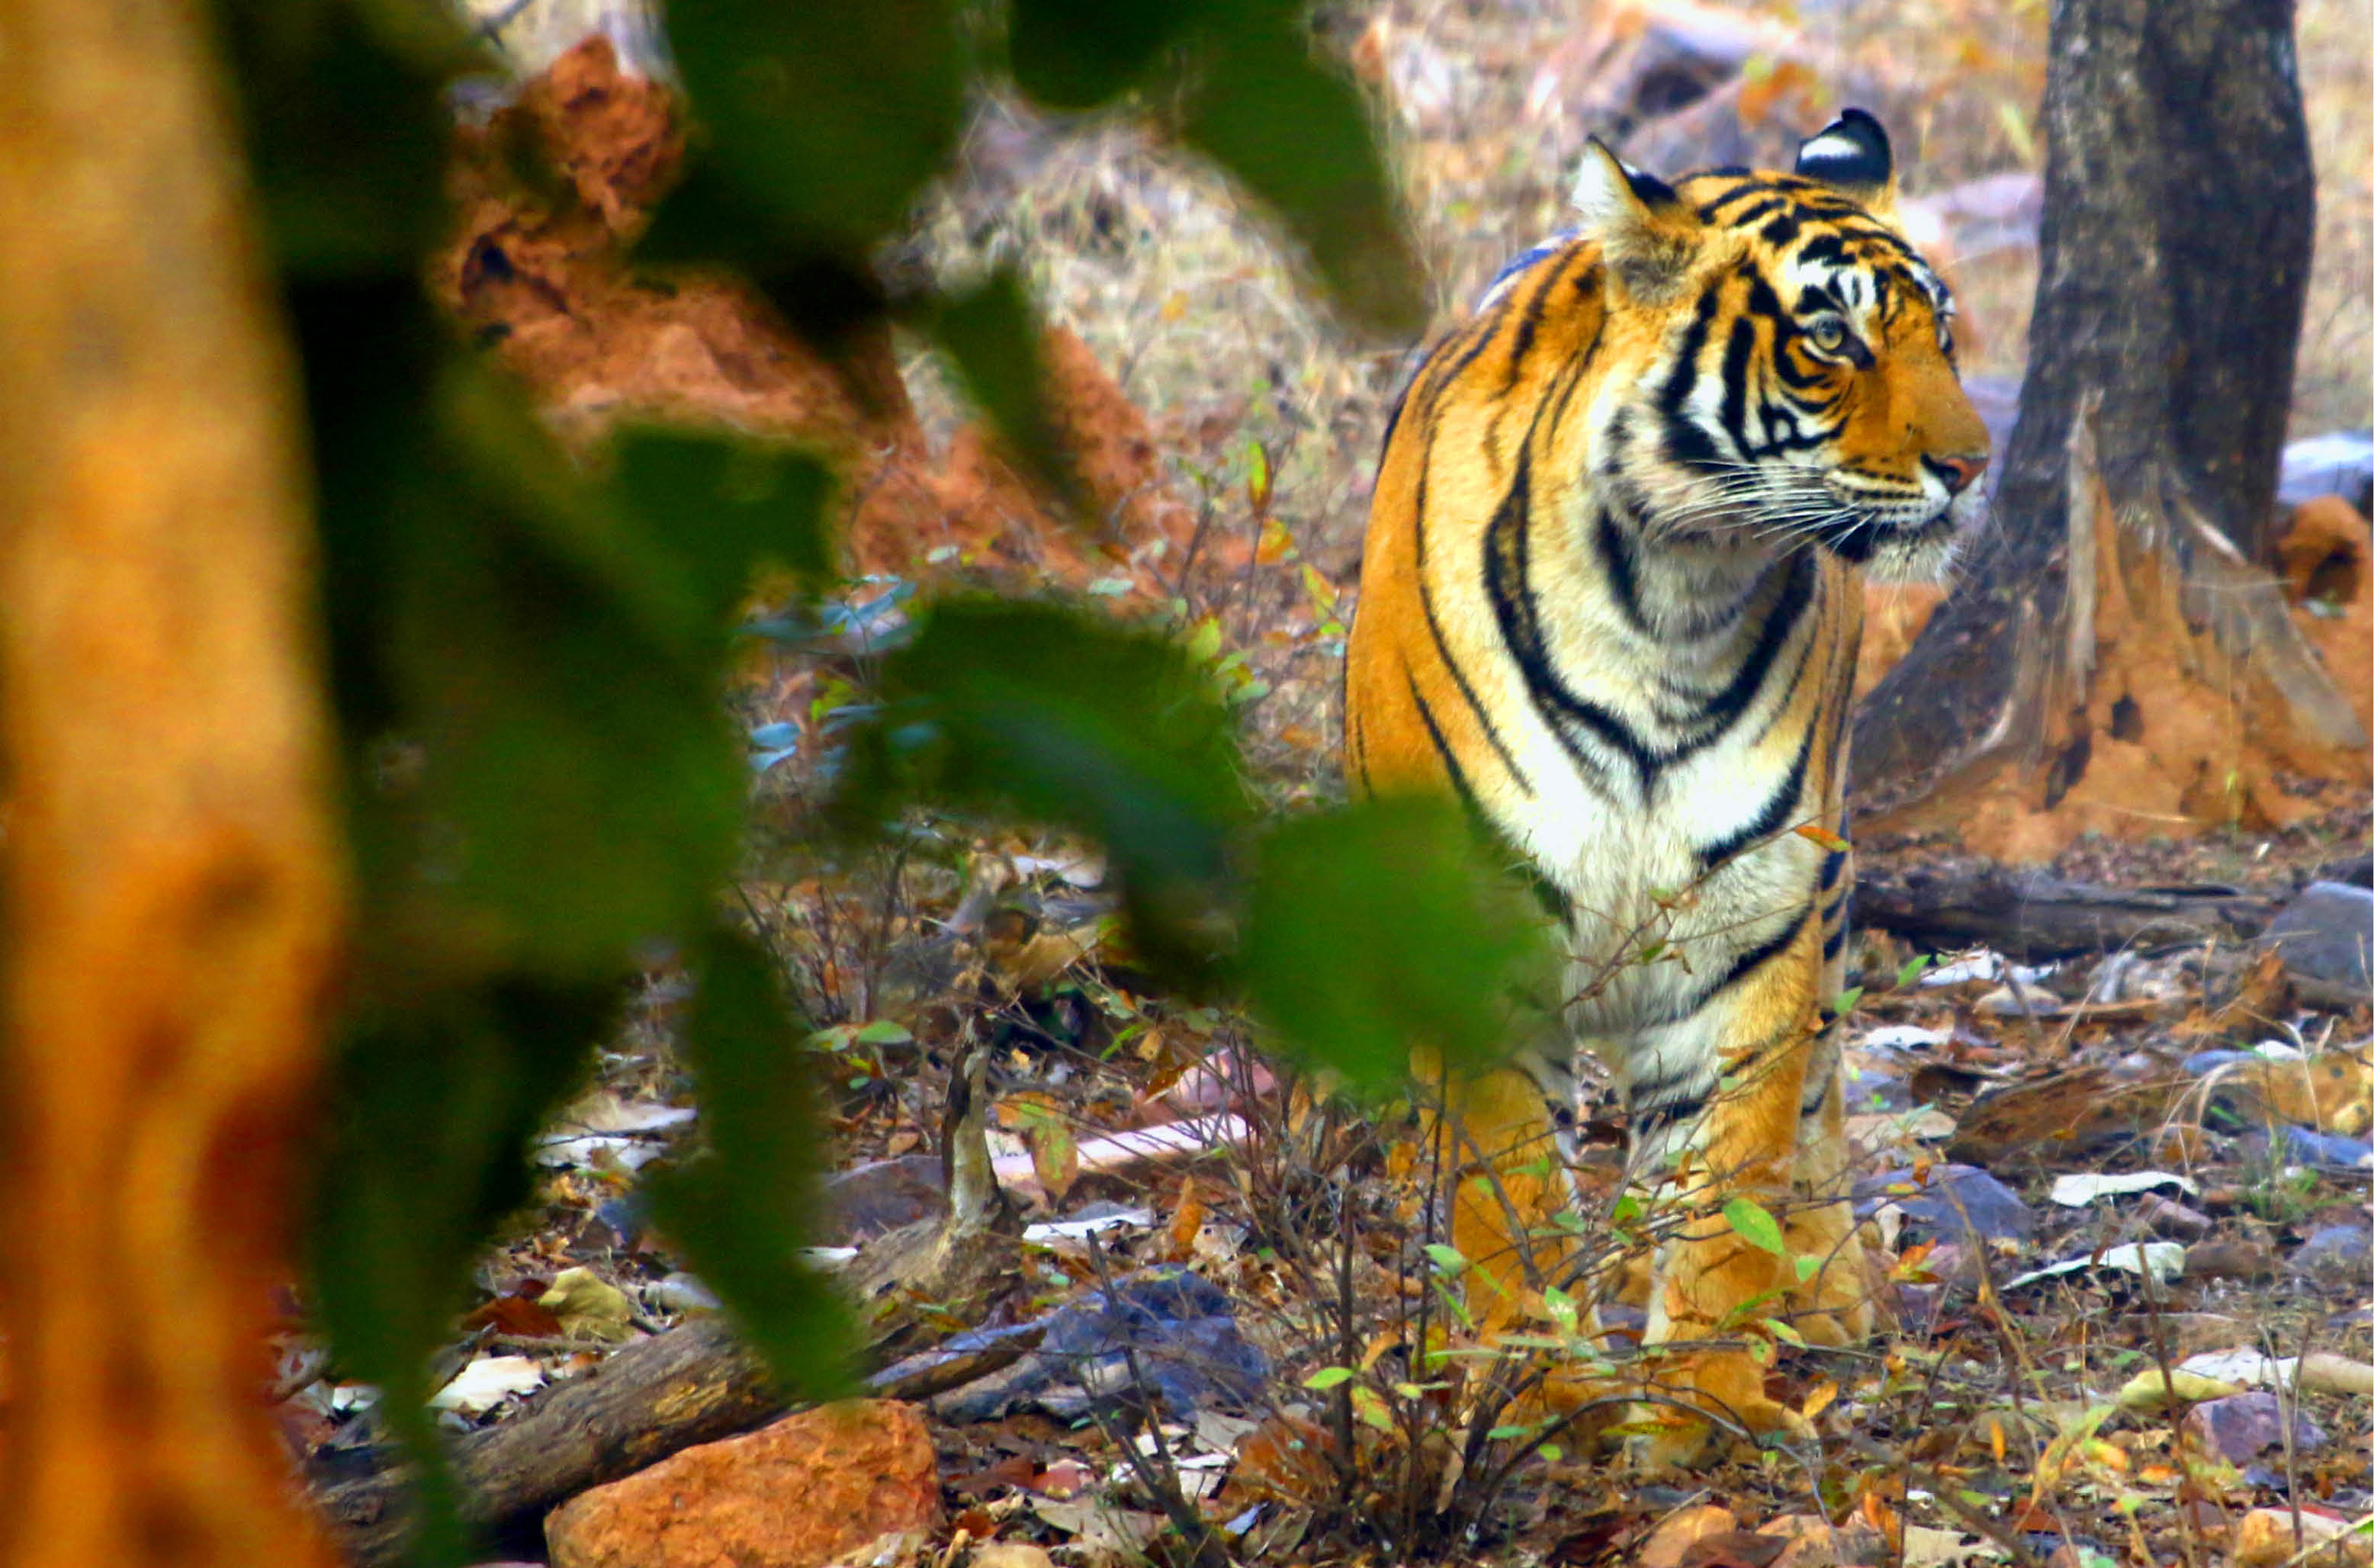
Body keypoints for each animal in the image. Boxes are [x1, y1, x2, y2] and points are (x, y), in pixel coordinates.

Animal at [1342, 110, 1989, 1468]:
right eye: (1831, 337)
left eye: (1941, 333)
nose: (1972, 464)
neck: (1671, 594)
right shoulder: (1470, 925)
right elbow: (1505, 1196)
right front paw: (1532, 1394)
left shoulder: (1749, 922)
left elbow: (1723, 1185)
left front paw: (1701, 1407)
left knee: (1821, 1096)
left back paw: (1830, 1294)